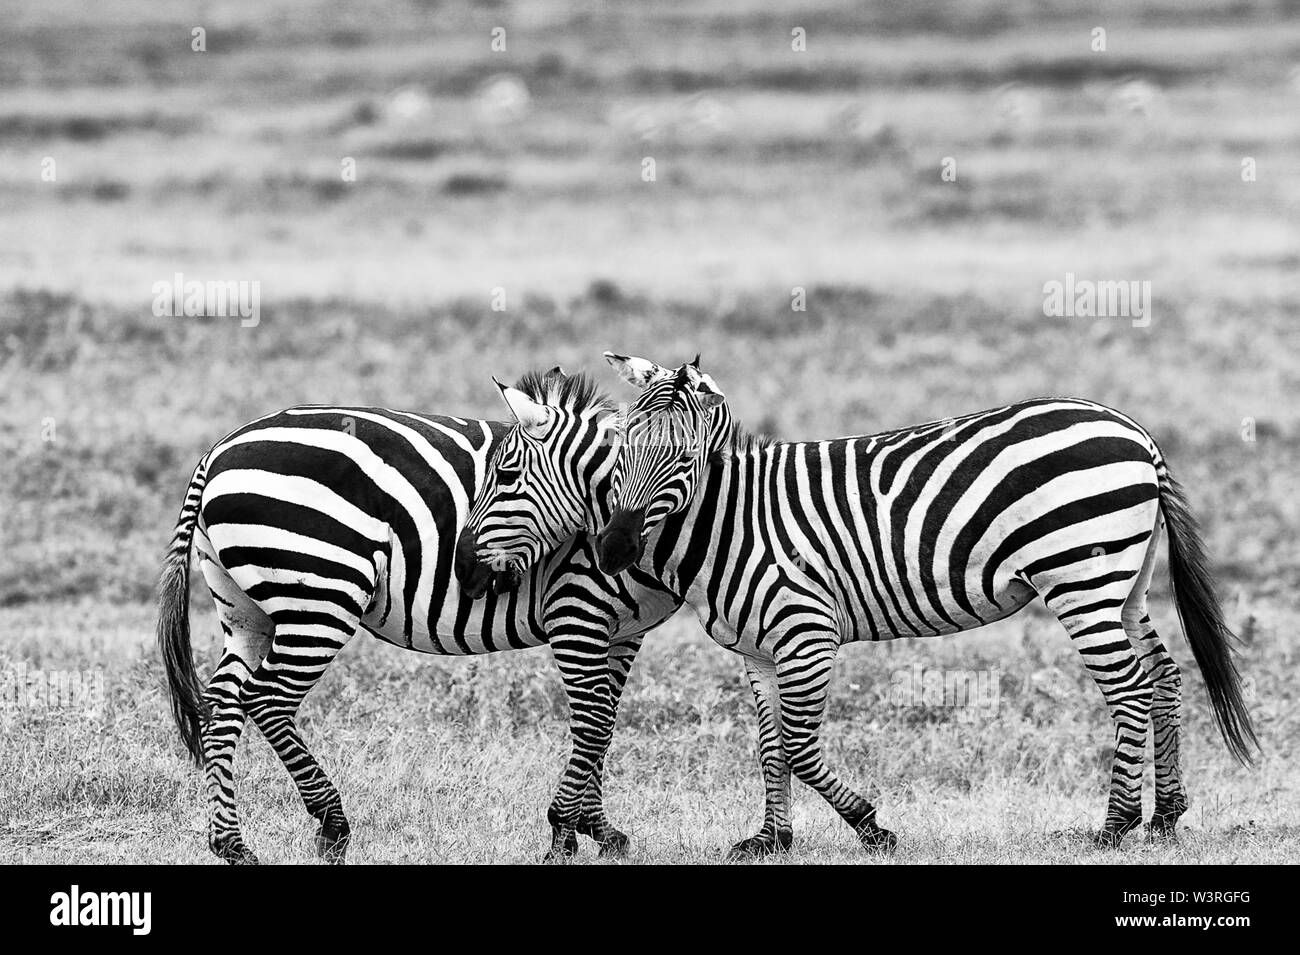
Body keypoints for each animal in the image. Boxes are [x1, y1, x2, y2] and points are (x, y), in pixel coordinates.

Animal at [158, 368, 680, 864]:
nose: (467, 566)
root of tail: (219, 450)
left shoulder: (624, 632)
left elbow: (604, 721)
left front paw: (597, 826)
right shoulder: (577, 609)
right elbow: (595, 719)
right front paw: (574, 831)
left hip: (248, 611)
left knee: (222, 702)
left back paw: (232, 843)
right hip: (322, 595)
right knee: (266, 698)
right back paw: (332, 824)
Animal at [458, 353, 1258, 857]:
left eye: (682, 462)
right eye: (624, 454)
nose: (616, 548)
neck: (727, 521)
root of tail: (1133, 431)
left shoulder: (807, 631)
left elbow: (802, 746)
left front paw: (872, 826)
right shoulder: (758, 646)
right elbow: (770, 745)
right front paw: (771, 839)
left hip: (1081, 574)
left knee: (1129, 686)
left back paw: (1114, 825)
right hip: (1123, 578)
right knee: (1163, 674)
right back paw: (1166, 818)